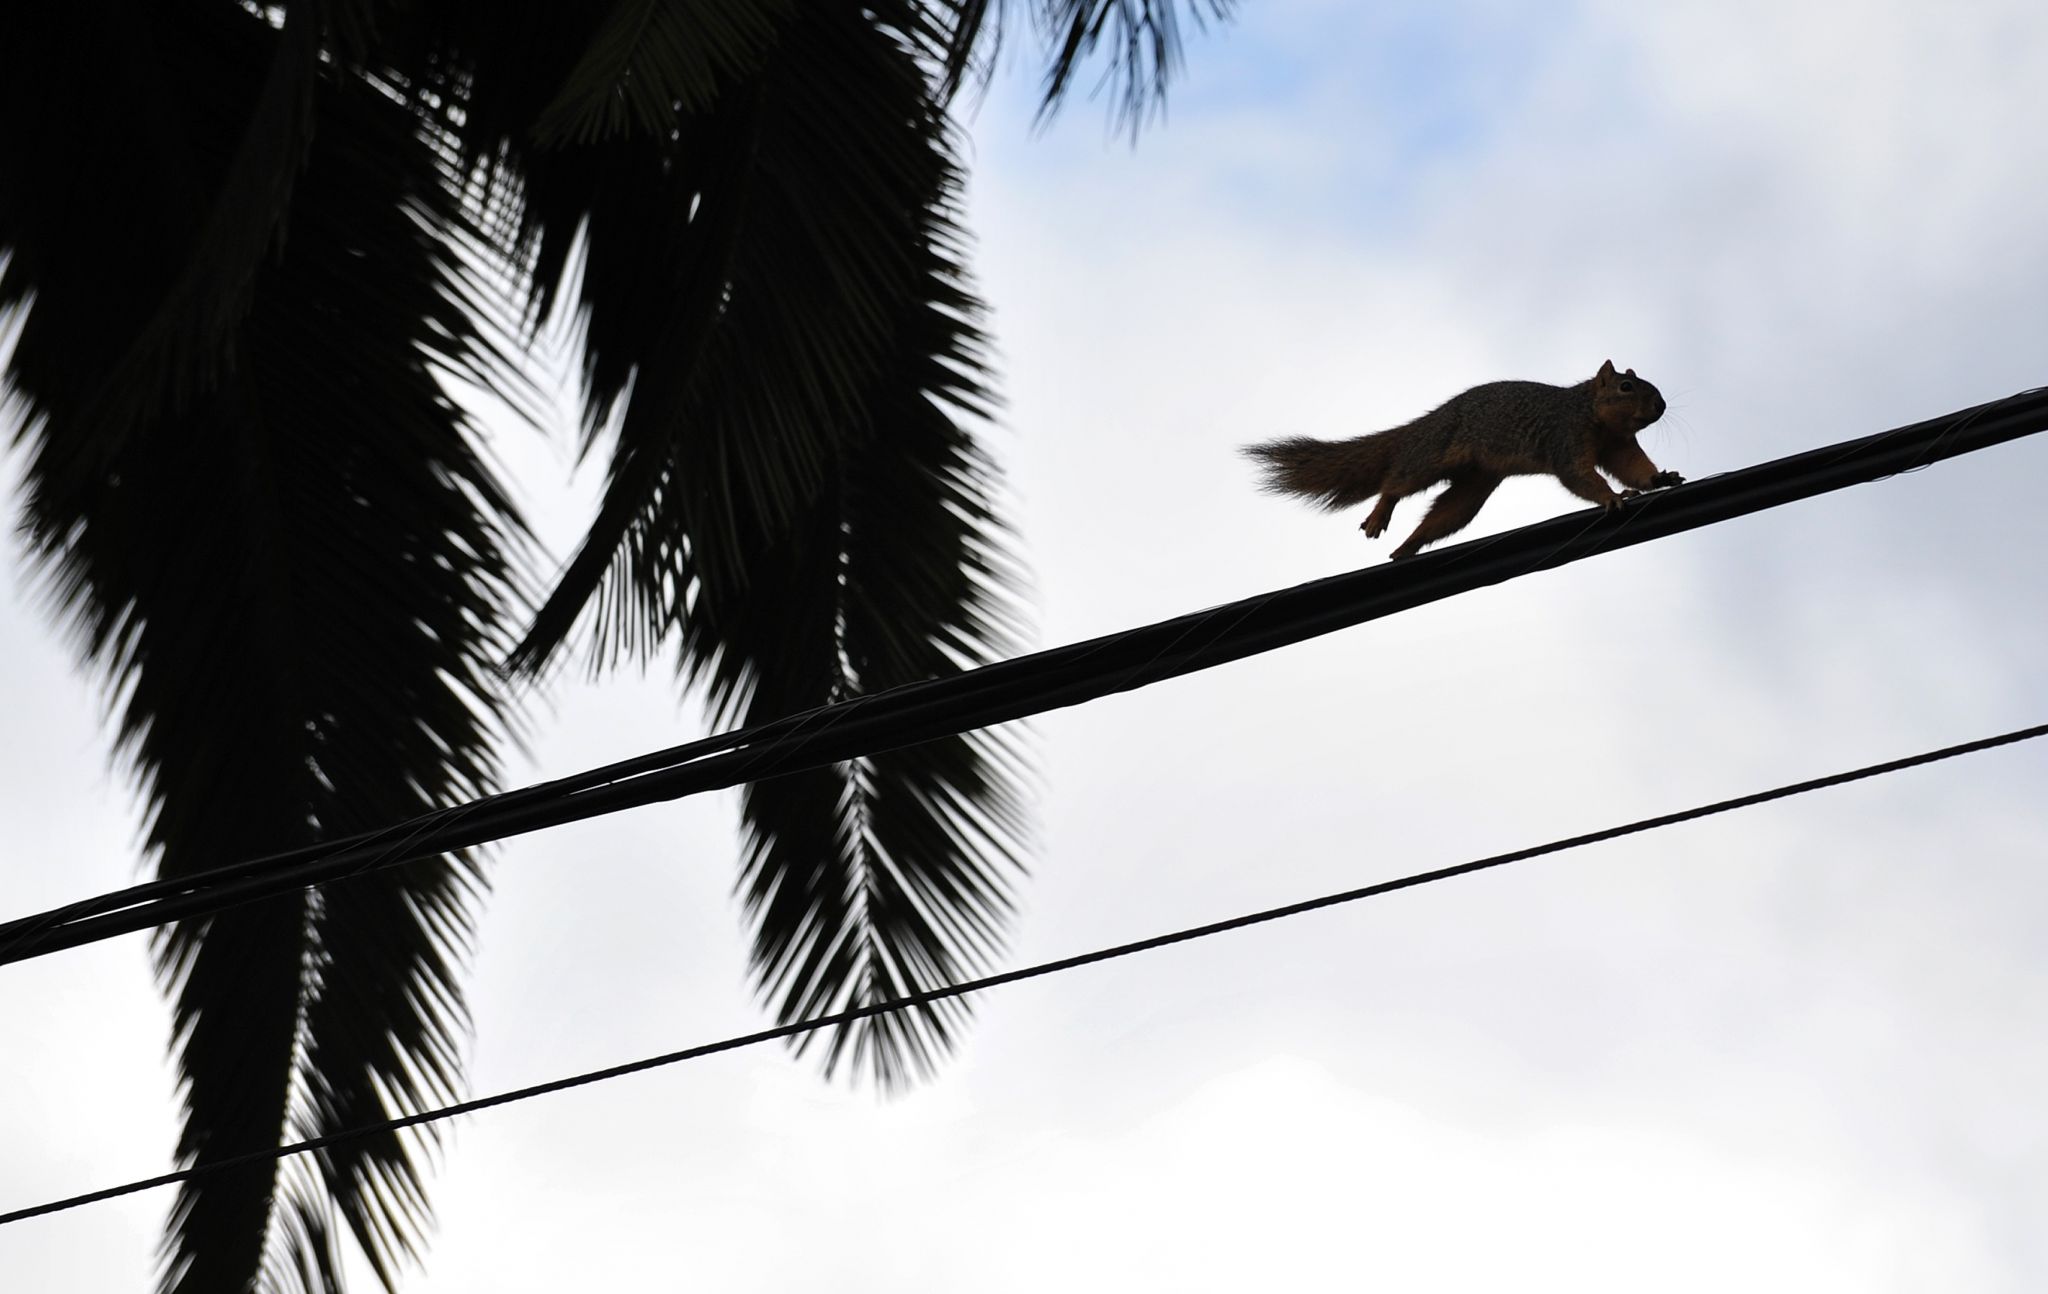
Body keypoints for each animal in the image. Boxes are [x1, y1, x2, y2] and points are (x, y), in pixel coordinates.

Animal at [1243, 360, 1681, 559]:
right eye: (1626, 387)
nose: (1660, 405)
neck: (1593, 415)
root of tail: (1430, 421)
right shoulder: (1565, 437)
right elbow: (1578, 475)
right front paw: (1611, 497)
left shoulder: (1619, 446)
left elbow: (1635, 469)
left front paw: (1660, 479)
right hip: (1434, 454)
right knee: (1396, 482)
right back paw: (1380, 517)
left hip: (1472, 487)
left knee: (1442, 516)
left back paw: (1406, 549)